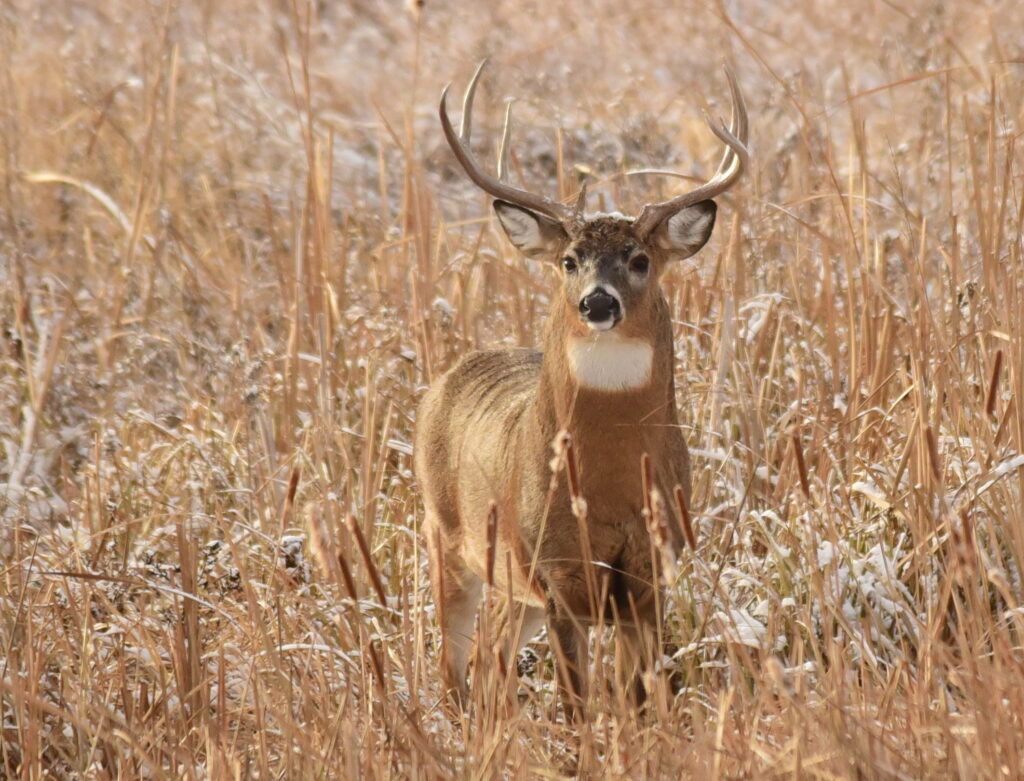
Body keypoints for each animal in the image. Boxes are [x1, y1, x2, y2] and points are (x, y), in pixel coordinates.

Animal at [414, 61, 748, 719]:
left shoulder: (650, 571)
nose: (598, 302)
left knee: (492, 658)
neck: (608, 486)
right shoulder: (558, 572)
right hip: (449, 540)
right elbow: (577, 704)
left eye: (640, 259)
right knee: (454, 665)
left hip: (513, 584)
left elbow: (641, 697)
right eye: (570, 260)